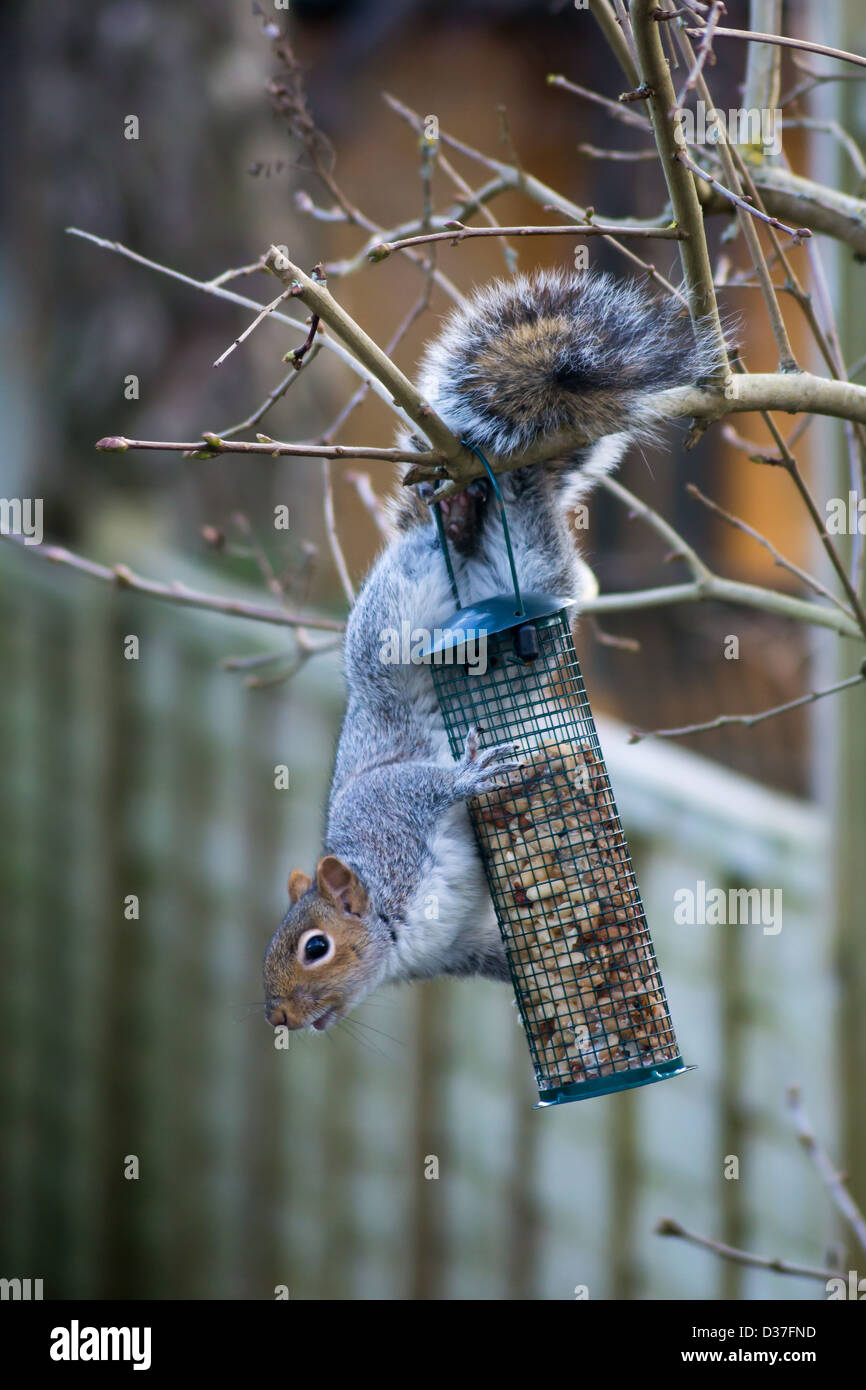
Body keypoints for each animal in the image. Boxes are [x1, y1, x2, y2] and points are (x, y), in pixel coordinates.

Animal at [263, 268, 718, 1033]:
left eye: (314, 947)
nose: (281, 1020)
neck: (398, 932)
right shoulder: (465, 945)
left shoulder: (385, 816)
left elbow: (417, 785)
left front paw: (471, 777)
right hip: (525, 569)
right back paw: (462, 510)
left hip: (431, 604)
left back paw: (459, 513)